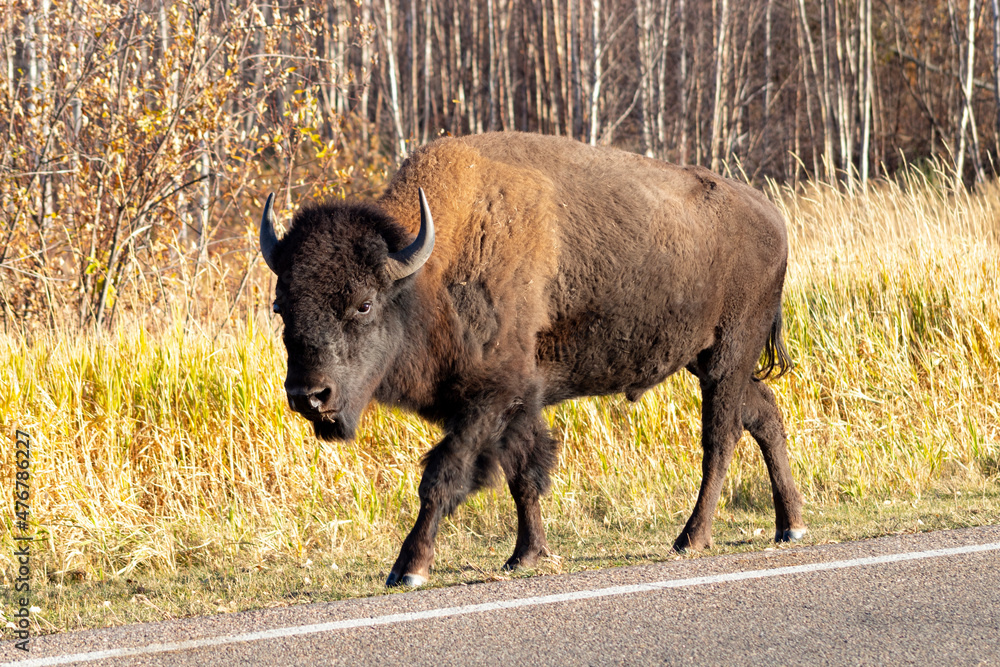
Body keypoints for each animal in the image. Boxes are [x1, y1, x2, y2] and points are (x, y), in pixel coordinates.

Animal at [259, 132, 806, 587]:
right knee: (763, 413)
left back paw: (691, 539)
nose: (309, 395)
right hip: (706, 358)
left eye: (364, 304)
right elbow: (522, 475)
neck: (428, 274)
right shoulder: (518, 401)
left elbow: (443, 476)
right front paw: (526, 555)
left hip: (727, 356)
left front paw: (408, 569)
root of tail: (773, 216)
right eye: (281, 305)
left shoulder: (490, 400)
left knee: (720, 438)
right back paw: (791, 525)